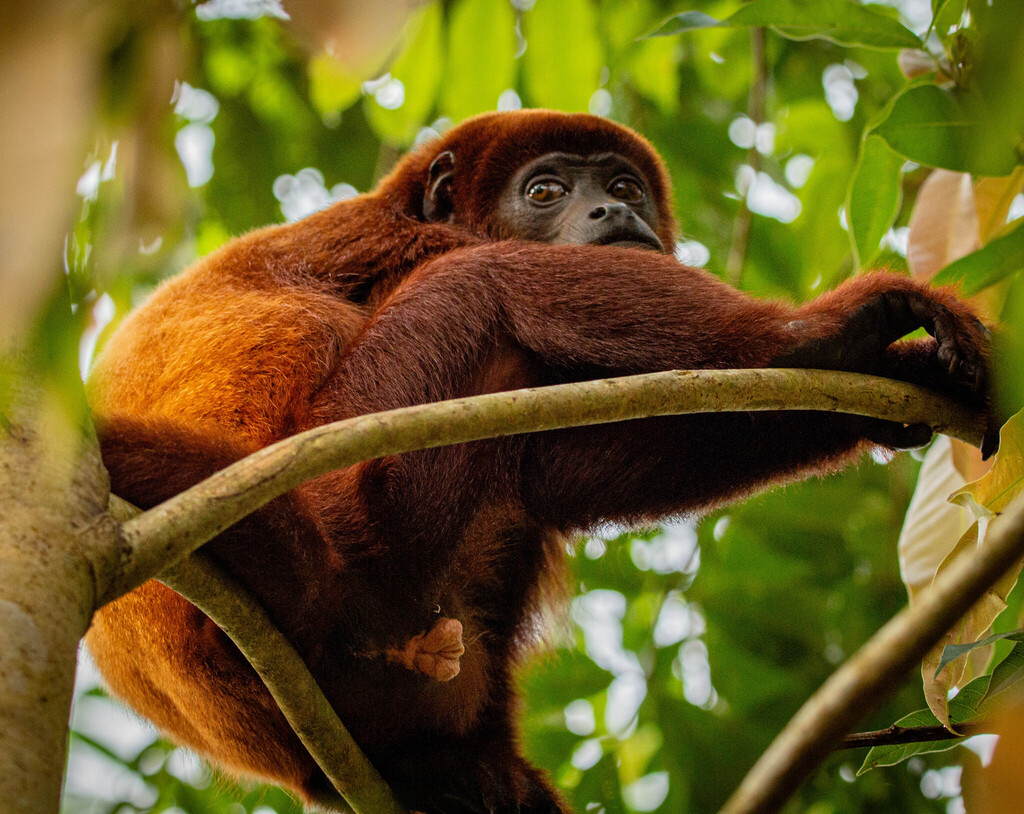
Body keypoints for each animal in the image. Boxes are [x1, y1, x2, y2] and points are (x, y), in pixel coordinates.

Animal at [85, 110, 990, 813]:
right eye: (546, 192)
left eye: (623, 186)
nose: (609, 210)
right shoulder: (402, 239)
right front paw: (840, 332)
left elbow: (564, 468)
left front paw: (897, 378)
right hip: (341, 499)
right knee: (484, 281)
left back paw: (465, 770)